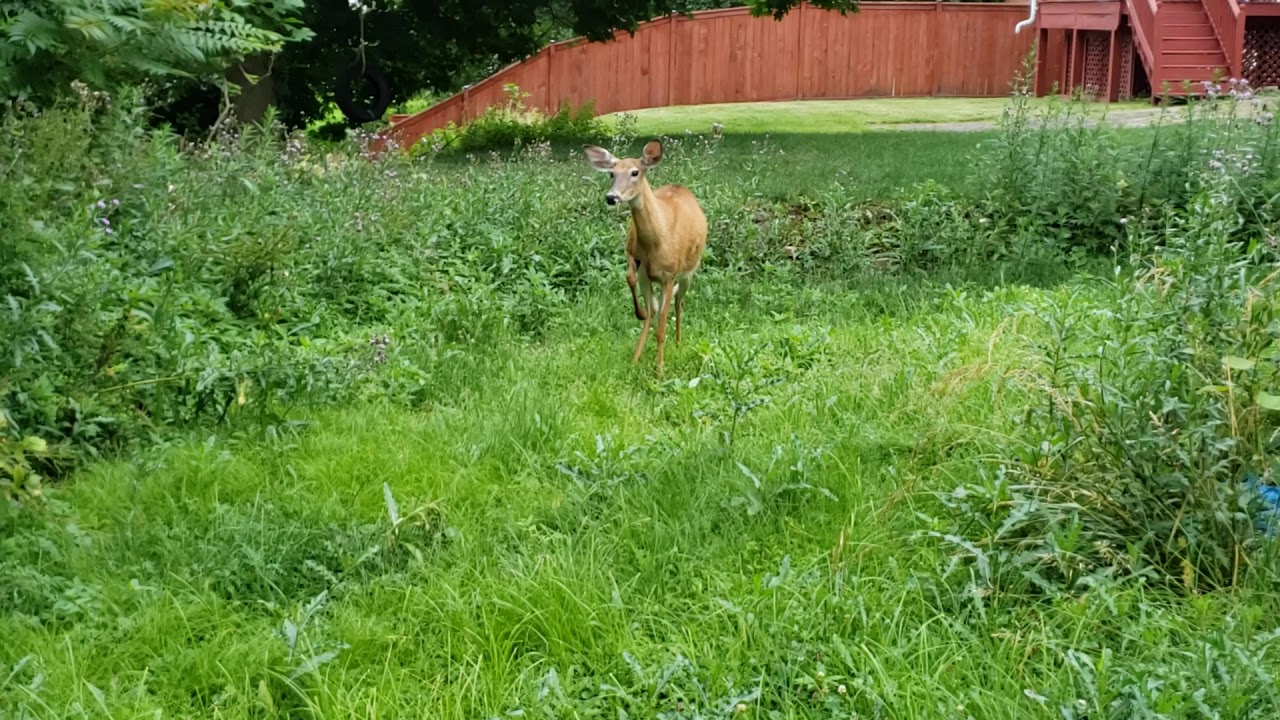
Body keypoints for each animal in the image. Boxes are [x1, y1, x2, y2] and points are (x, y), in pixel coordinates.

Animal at [583, 139, 708, 377]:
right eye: (611, 173)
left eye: (635, 172)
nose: (611, 197)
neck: (656, 242)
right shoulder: (635, 257)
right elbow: (630, 280)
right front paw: (638, 316)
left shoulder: (669, 274)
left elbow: (661, 327)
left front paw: (660, 371)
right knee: (654, 311)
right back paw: (636, 357)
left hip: (689, 270)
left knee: (679, 303)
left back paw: (678, 343)